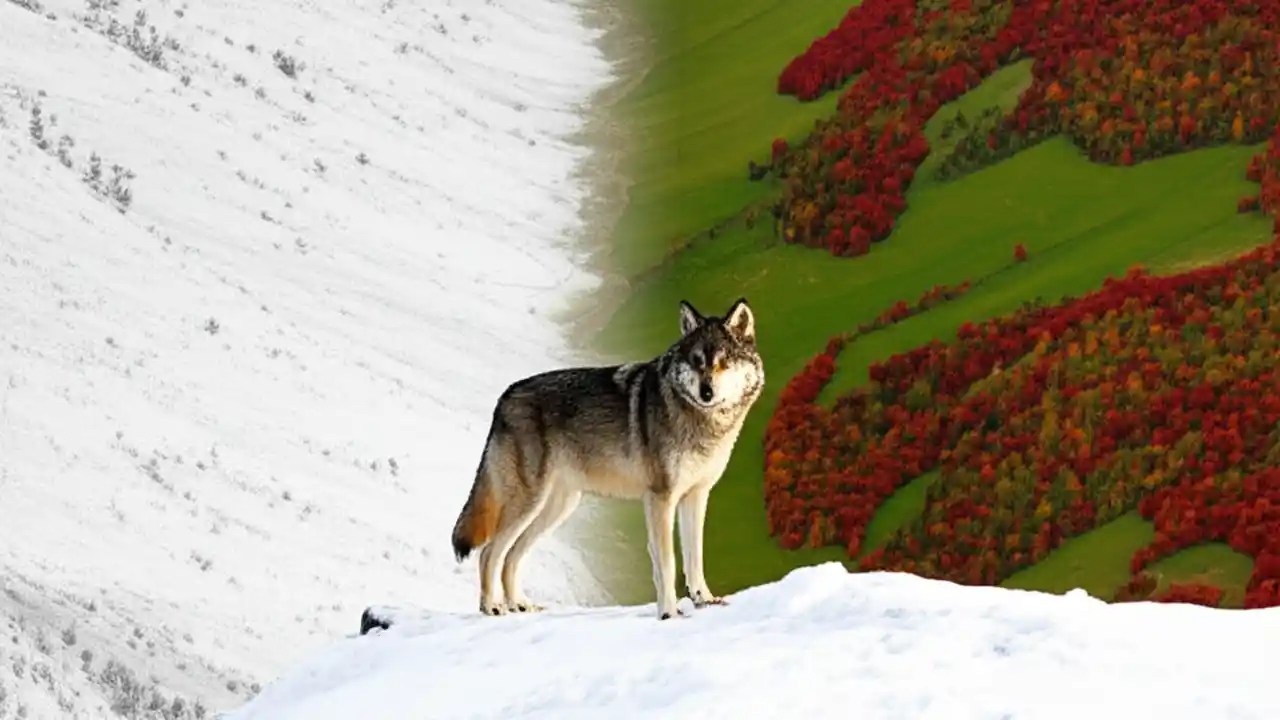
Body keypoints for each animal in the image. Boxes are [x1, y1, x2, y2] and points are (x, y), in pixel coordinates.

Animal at [449, 298, 765, 620]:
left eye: (724, 362)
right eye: (698, 361)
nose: (707, 392)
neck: (703, 423)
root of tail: (504, 397)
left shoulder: (696, 496)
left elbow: (694, 558)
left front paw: (704, 601)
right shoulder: (660, 498)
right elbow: (667, 563)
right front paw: (668, 613)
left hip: (557, 507)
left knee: (512, 555)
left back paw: (520, 604)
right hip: (529, 504)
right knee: (489, 552)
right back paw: (492, 606)